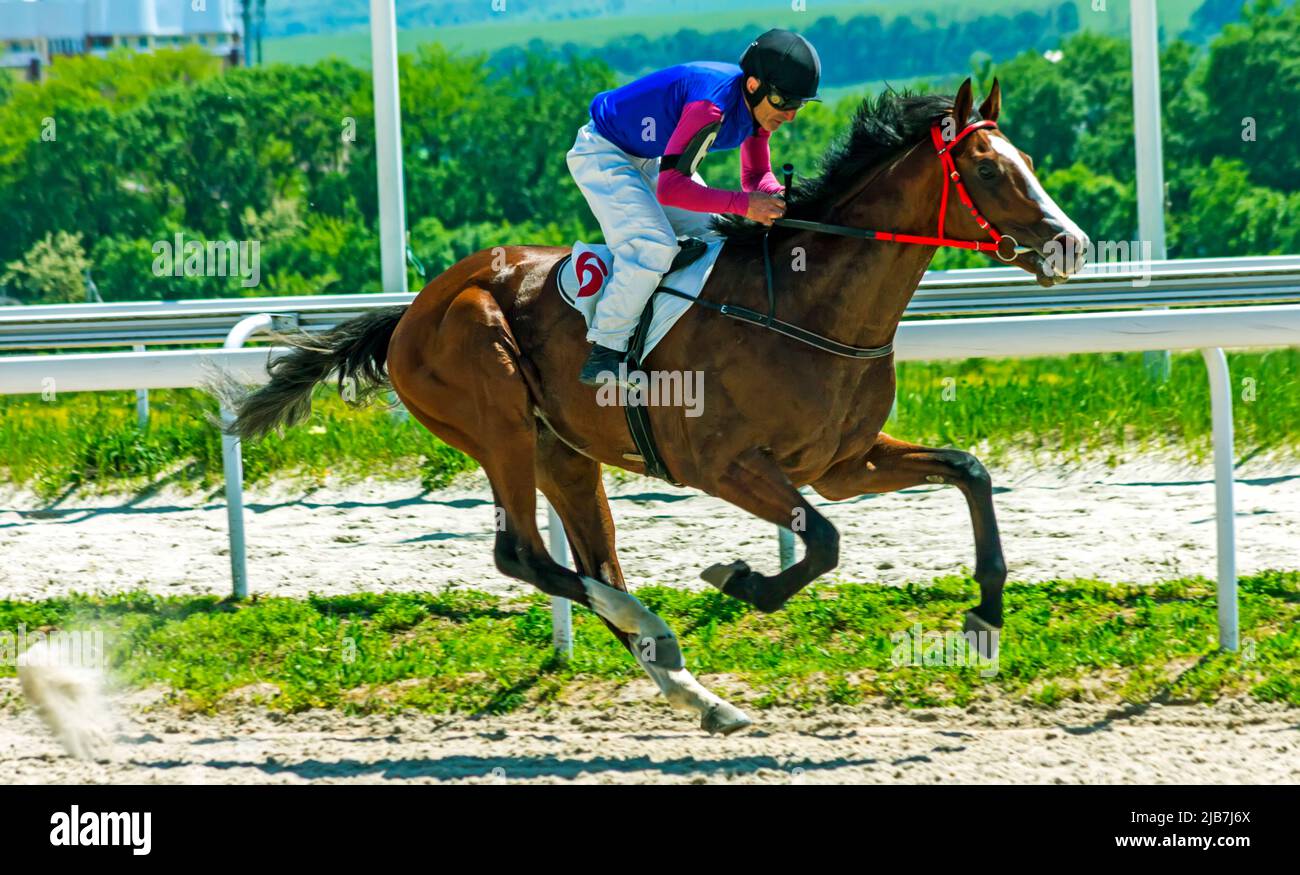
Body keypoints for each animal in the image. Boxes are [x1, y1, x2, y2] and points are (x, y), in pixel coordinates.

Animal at [226, 80, 1090, 734]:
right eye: (989, 170)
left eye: (1028, 161)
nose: (1072, 246)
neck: (808, 303)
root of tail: (412, 311)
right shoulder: (723, 463)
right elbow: (825, 542)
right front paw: (741, 578)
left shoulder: (843, 462)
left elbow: (969, 471)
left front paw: (985, 618)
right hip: (495, 414)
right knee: (527, 556)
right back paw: (654, 629)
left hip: (562, 450)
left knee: (590, 561)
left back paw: (698, 691)